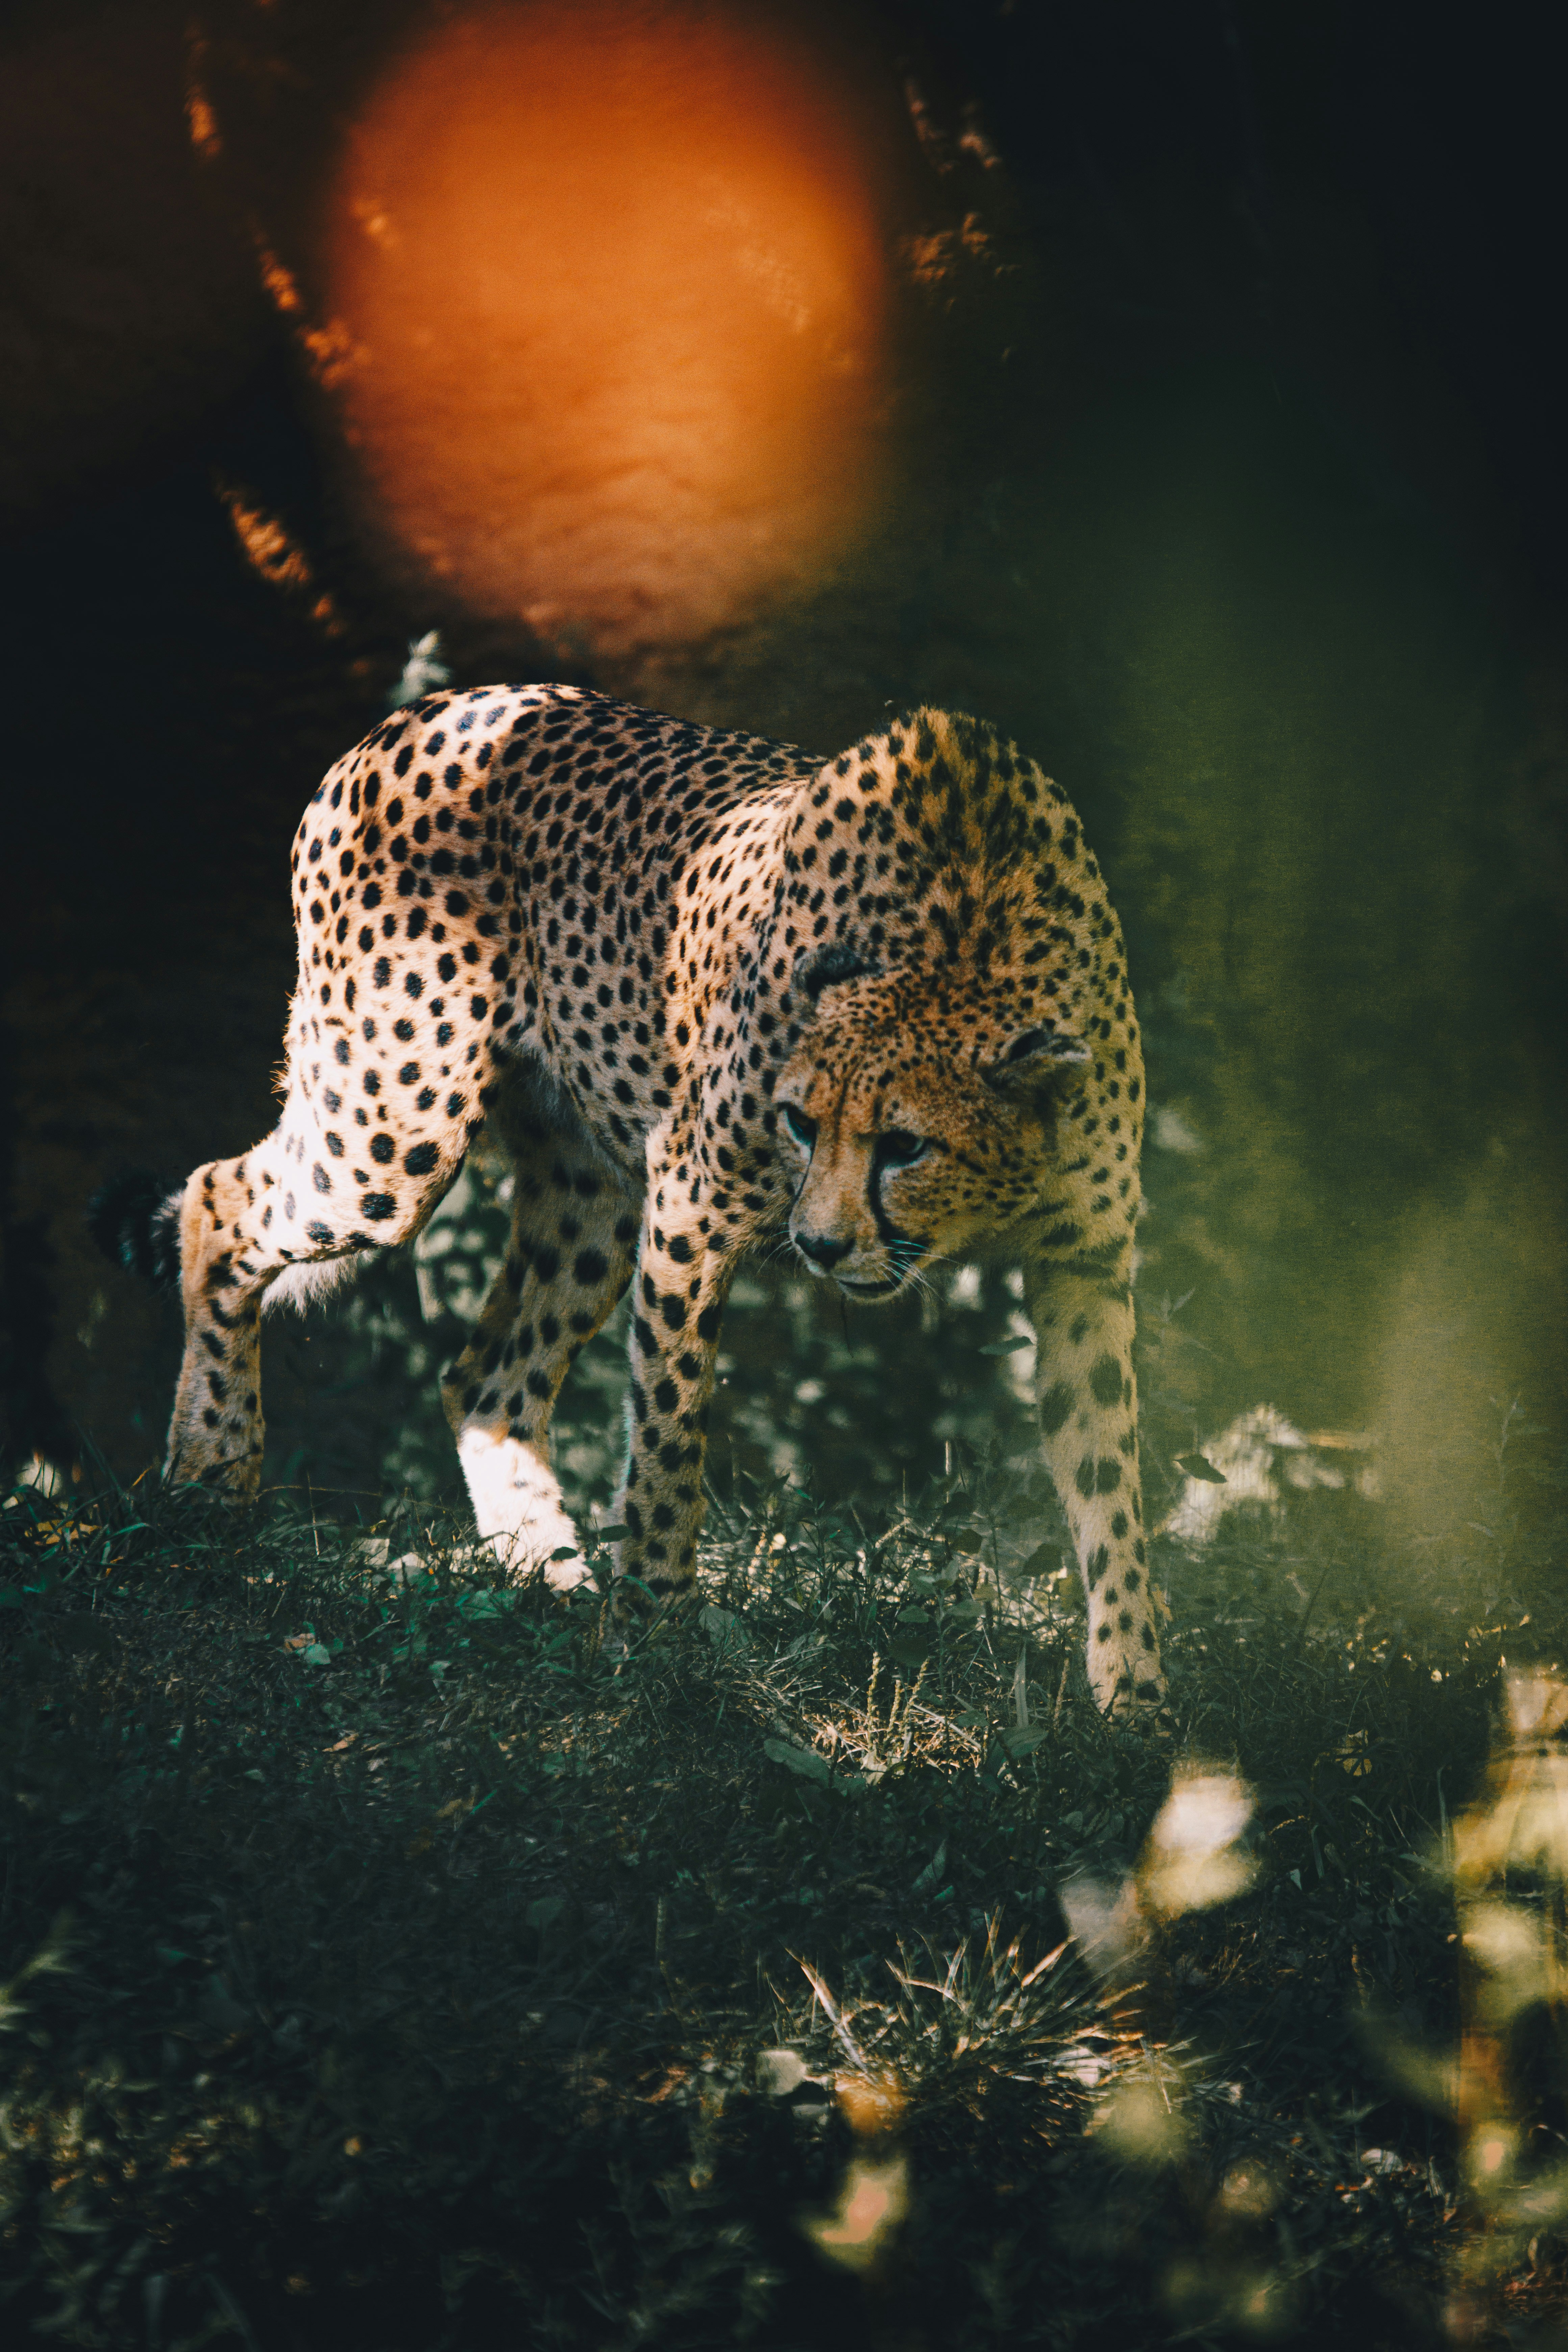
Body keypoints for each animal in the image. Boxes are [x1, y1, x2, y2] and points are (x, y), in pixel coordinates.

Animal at [91, 684, 1163, 1714]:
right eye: (799, 1123)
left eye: (904, 1146)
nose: (818, 1245)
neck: (967, 929)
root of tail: (416, 718)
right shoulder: (691, 1201)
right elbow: (668, 1435)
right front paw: (656, 1627)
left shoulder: (1084, 1262)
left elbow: (1111, 1470)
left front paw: (1134, 1693)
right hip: (391, 1137)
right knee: (219, 1200)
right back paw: (213, 1475)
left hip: (587, 1194)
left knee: (486, 1378)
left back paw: (546, 1569)